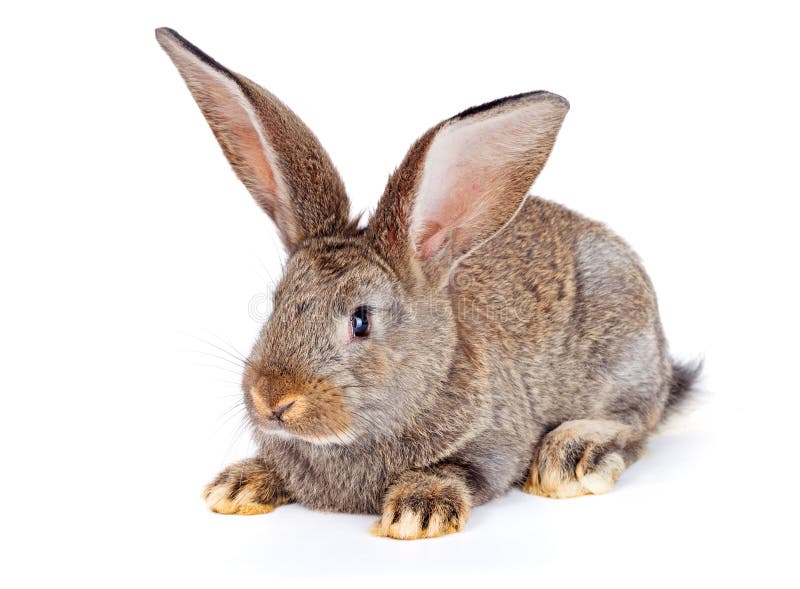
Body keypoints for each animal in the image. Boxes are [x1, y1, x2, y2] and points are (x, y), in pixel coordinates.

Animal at [156, 27, 700, 540]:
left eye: (361, 321)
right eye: (275, 303)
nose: (273, 399)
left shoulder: (494, 444)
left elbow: (459, 471)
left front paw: (418, 511)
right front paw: (239, 485)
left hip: (622, 348)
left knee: (636, 421)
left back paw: (572, 455)